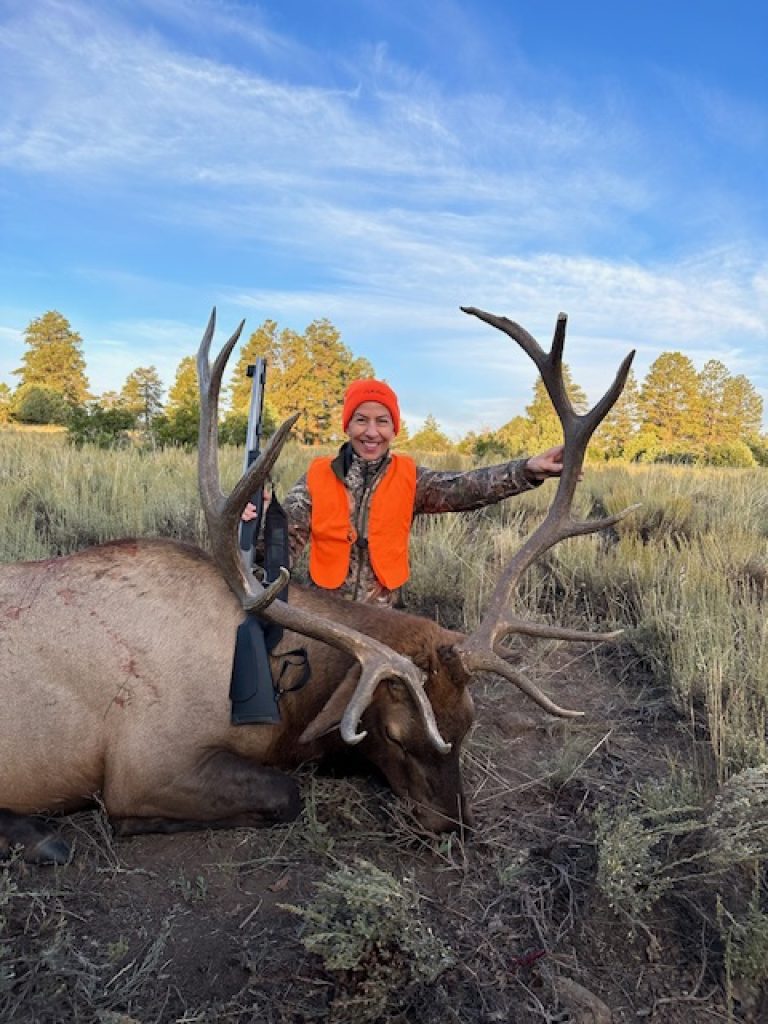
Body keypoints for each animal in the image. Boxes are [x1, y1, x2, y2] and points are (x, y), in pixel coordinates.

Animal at [0, 308, 634, 863]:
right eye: (396, 735)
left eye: (469, 724)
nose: (452, 826)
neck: (281, 693)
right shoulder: (144, 763)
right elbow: (285, 793)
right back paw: (38, 837)